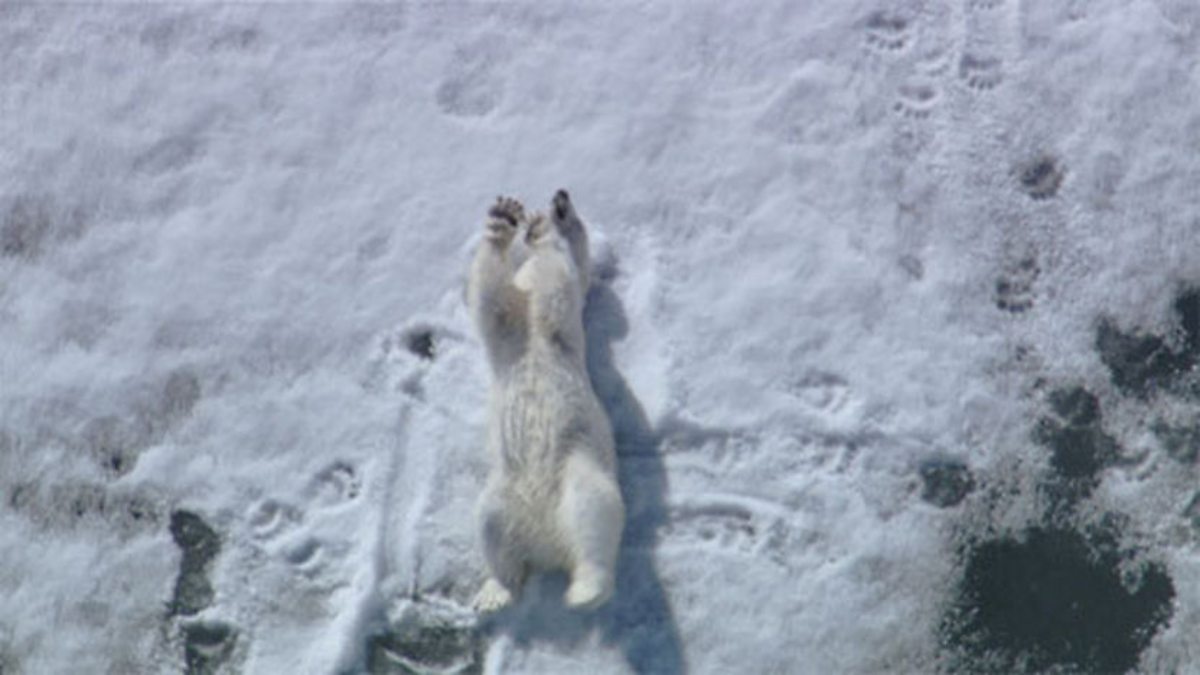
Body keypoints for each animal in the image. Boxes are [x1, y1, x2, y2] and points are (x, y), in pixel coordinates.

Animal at [466, 190, 624, 613]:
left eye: (576, 215)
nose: (561, 196)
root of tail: (546, 544)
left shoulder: (556, 318)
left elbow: (560, 274)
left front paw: (540, 229)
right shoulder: (512, 334)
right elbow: (490, 301)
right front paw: (503, 217)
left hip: (578, 468)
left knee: (594, 516)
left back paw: (586, 591)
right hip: (501, 491)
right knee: (491, 530)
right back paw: (495, 594)